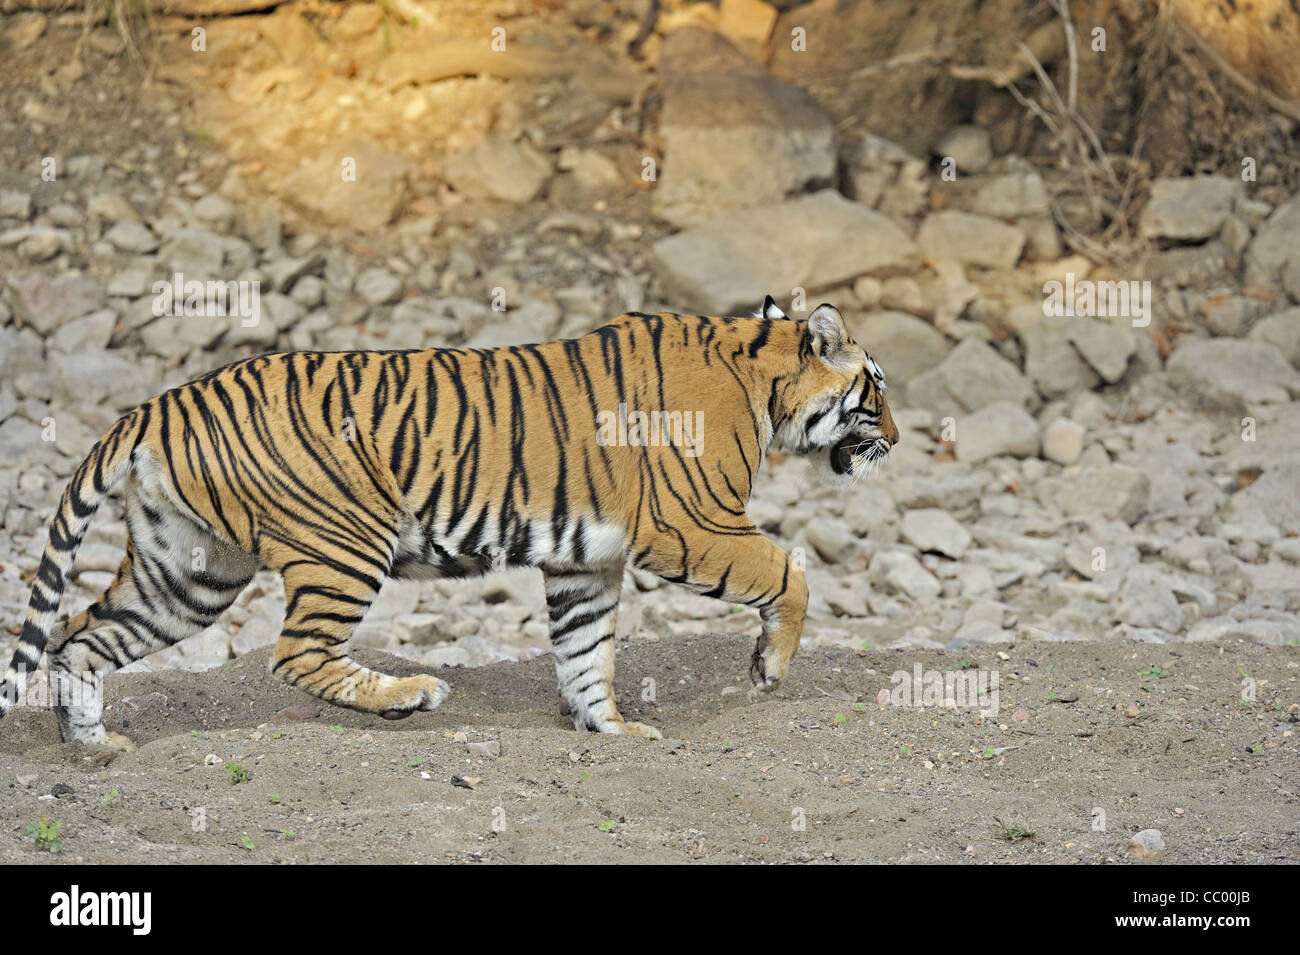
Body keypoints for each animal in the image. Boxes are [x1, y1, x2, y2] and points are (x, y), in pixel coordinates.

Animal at [0, 295, 897, 749]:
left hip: (190, 571)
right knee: (294, 652)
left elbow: (586, 651)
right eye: (877, 387)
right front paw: (769, 672)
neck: (761, 378)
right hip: (346, 540)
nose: (896, 435)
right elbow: (790, 576)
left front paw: (612, 730)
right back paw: (411, 695)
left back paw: (94, 745)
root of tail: (160, 401)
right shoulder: (691, 523)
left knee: (80, 637)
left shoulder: (586, 560)